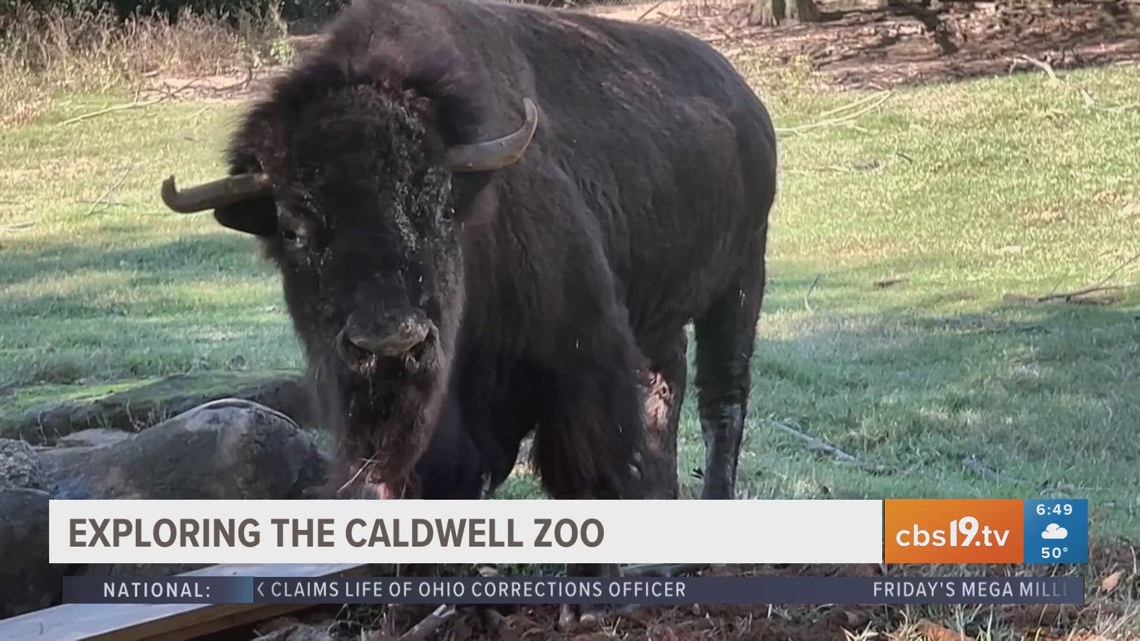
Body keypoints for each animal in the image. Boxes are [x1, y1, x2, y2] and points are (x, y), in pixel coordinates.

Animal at [161, 0, 777, 620]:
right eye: (293, 228)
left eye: (436, 205)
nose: (391, 343)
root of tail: (744, 96)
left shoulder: (580, 357)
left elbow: (586, 465)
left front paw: (586, 604)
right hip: (662, 317)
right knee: (664, 393)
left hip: (739, 283)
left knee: (721, 402)